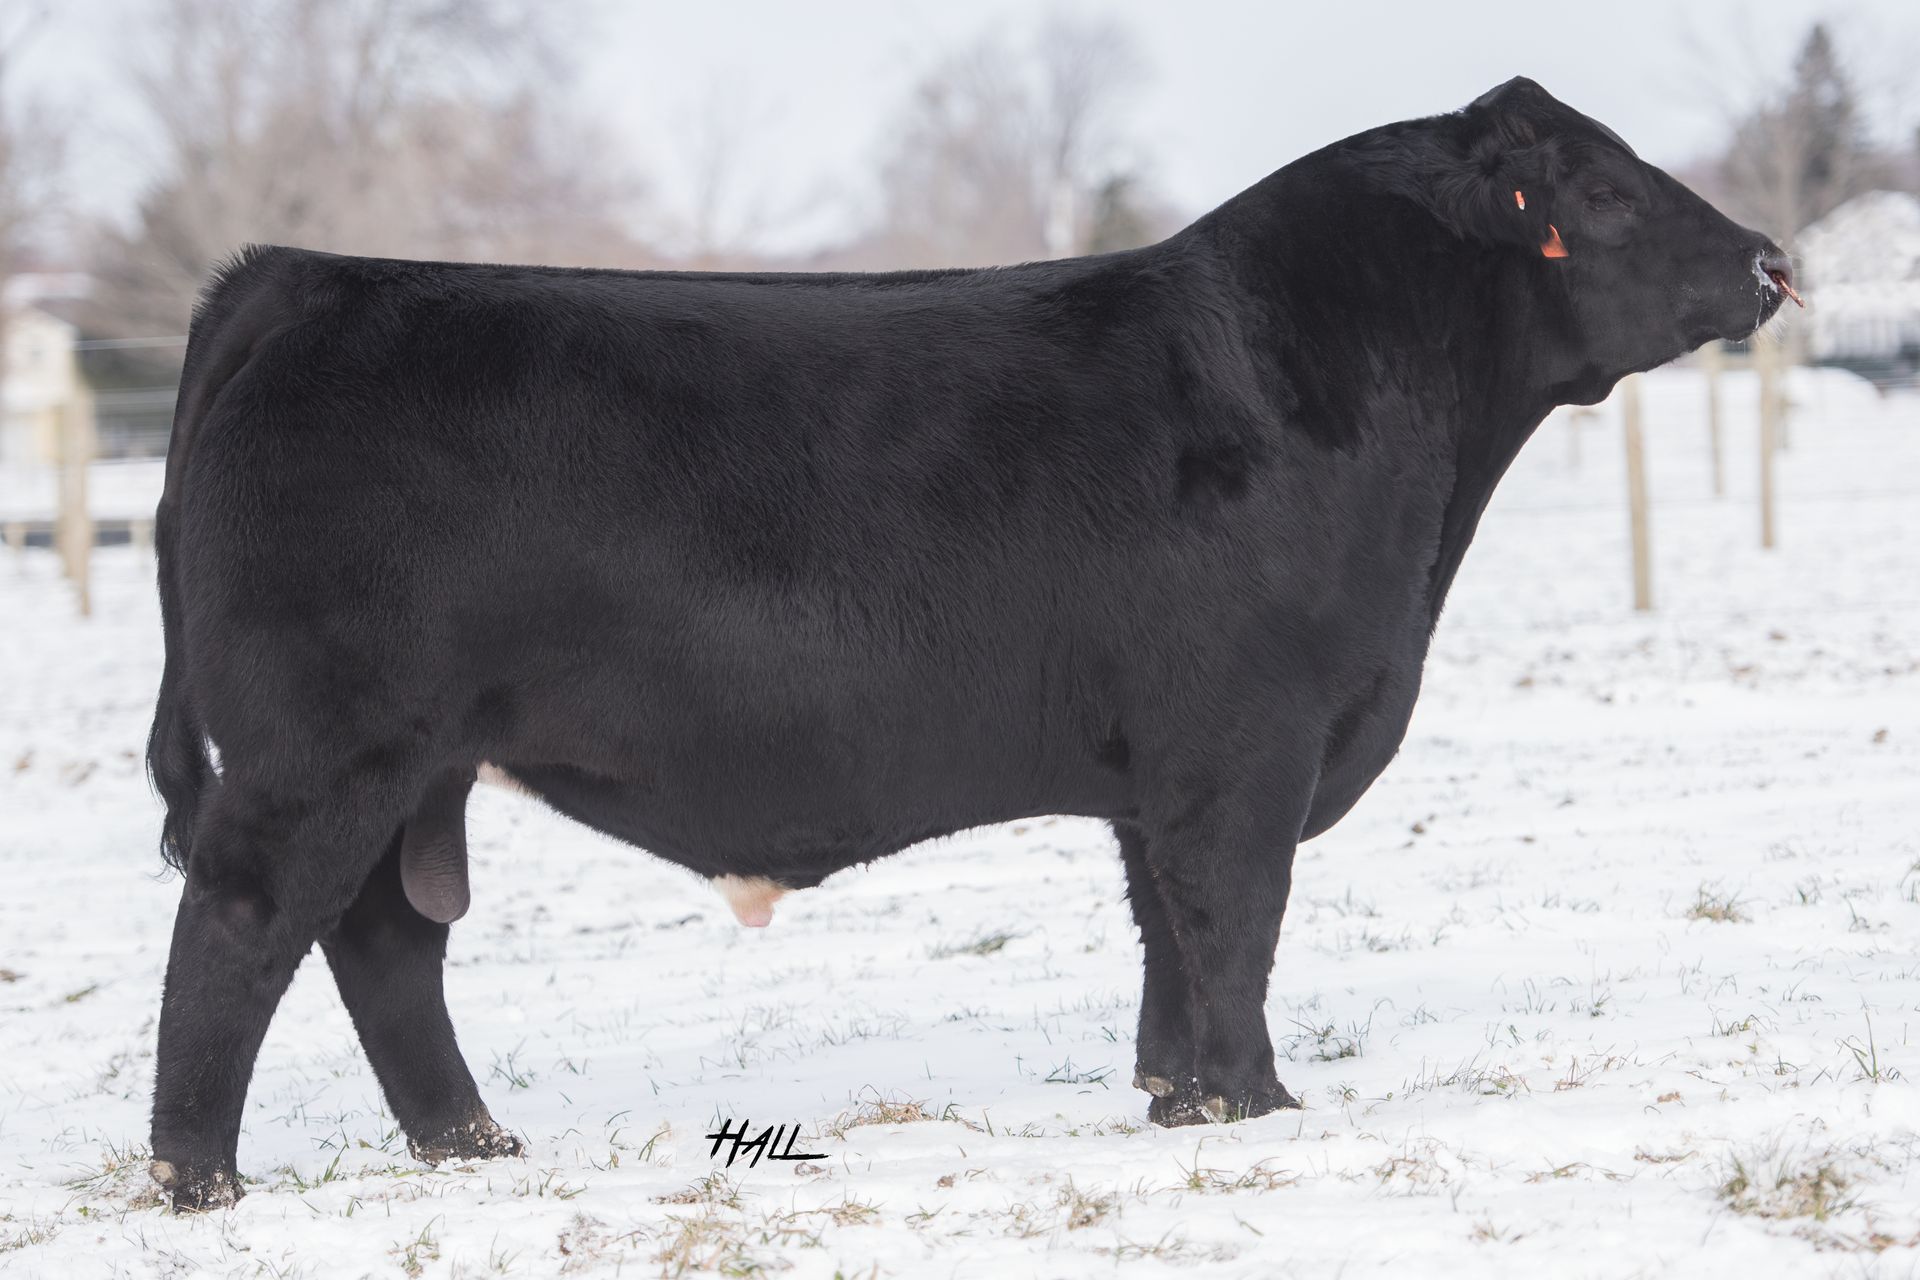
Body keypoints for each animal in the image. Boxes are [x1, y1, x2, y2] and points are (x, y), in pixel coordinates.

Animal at [143, 77, 1795, 1210]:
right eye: (1614, 191)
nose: (1776, 262)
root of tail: (303, 272)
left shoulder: (1158, 768)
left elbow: (1170, 932)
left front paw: (1178, 1104)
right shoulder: (1246, 742)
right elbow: (1236, 917)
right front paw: (1262, 1108)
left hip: (412, 765)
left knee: (384, 942)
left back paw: (477, 1148)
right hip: (324, 746)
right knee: (242, 924)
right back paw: (200, 1182)